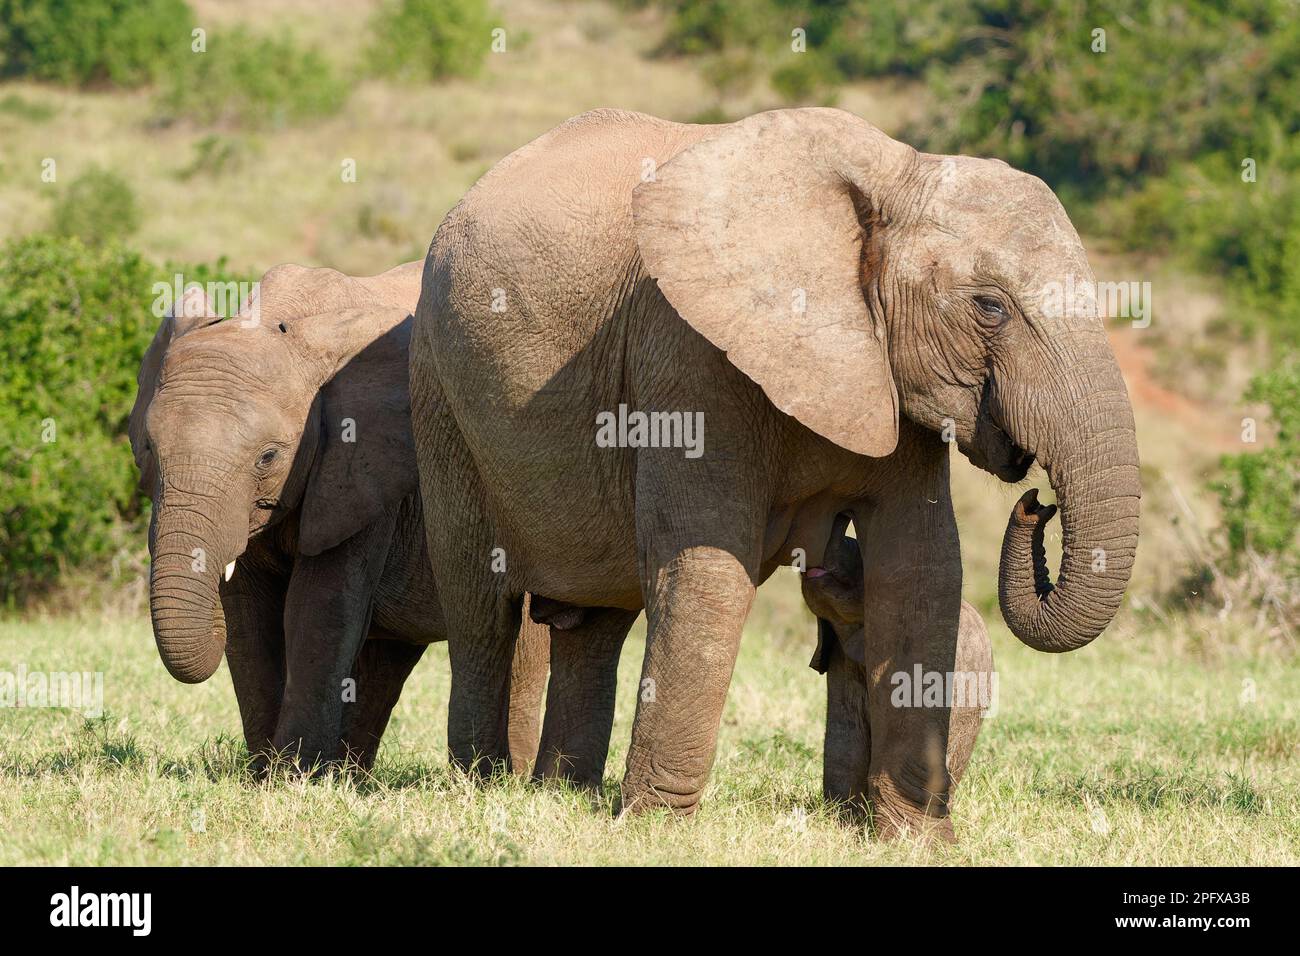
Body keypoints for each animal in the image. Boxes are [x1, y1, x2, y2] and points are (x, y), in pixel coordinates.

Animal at [129, 261, 550, 772]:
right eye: (148, 450)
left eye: (269, 457)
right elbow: (249, 616)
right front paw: (266, 773)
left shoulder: (365, 471)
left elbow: (318, 609)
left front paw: (292, 773)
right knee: (388, 659)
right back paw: (350, 775)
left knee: (523, 647)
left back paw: (513, 777)